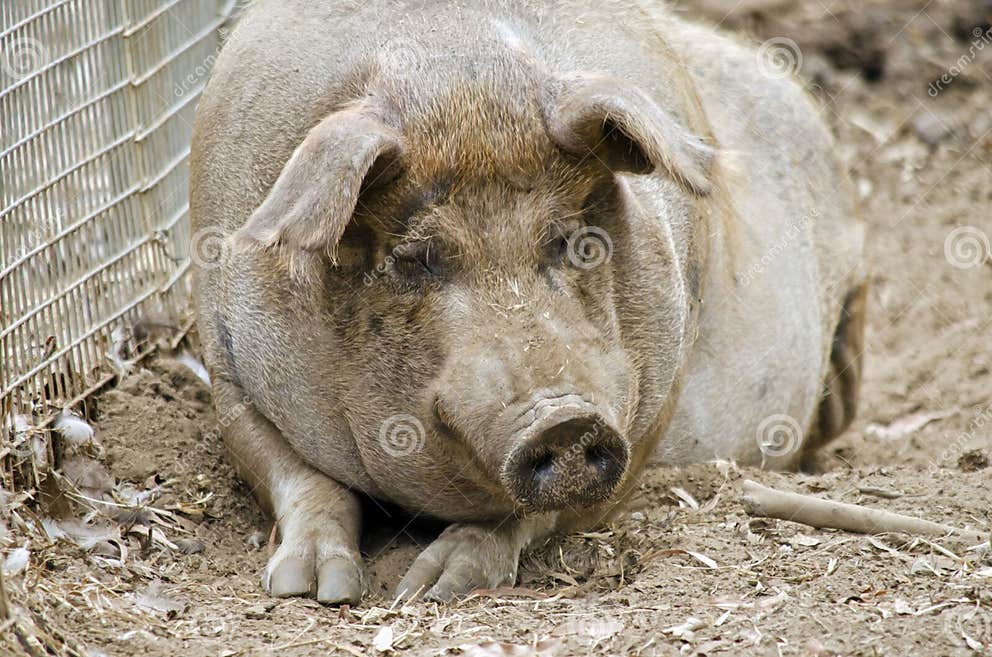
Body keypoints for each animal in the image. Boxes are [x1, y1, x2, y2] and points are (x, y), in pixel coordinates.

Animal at [189, 0, 866, 604]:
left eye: (577, 242)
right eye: (414, 257)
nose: (563, 418)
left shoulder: (652, 408)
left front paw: (428, 589)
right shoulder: (224, 365)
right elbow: (296, 475)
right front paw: (312, 589)